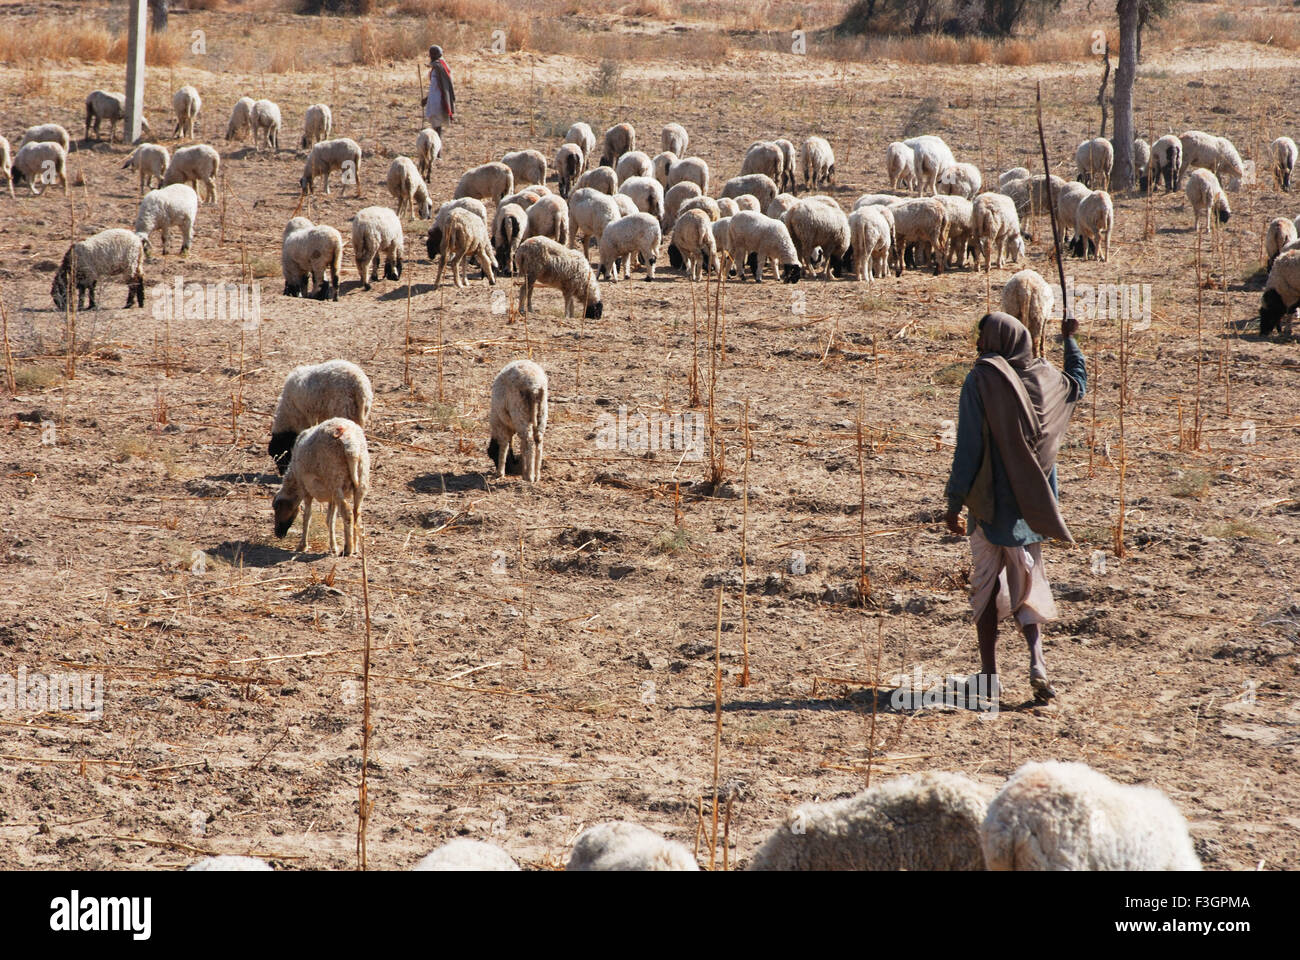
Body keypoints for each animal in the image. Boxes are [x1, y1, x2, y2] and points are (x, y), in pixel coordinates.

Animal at [272, 417, 369, 557]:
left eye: (277, 508)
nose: (278, 533)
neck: (294, 477)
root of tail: (352, 448)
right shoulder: (331, 497)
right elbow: (330, 520)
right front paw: (333, 547)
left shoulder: (305, 488)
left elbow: (307, 516)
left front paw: (302, 546)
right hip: (360, 479)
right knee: (357, 512)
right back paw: (355, 548)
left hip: (335, 478)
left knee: (347, 513)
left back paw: (348, 549)